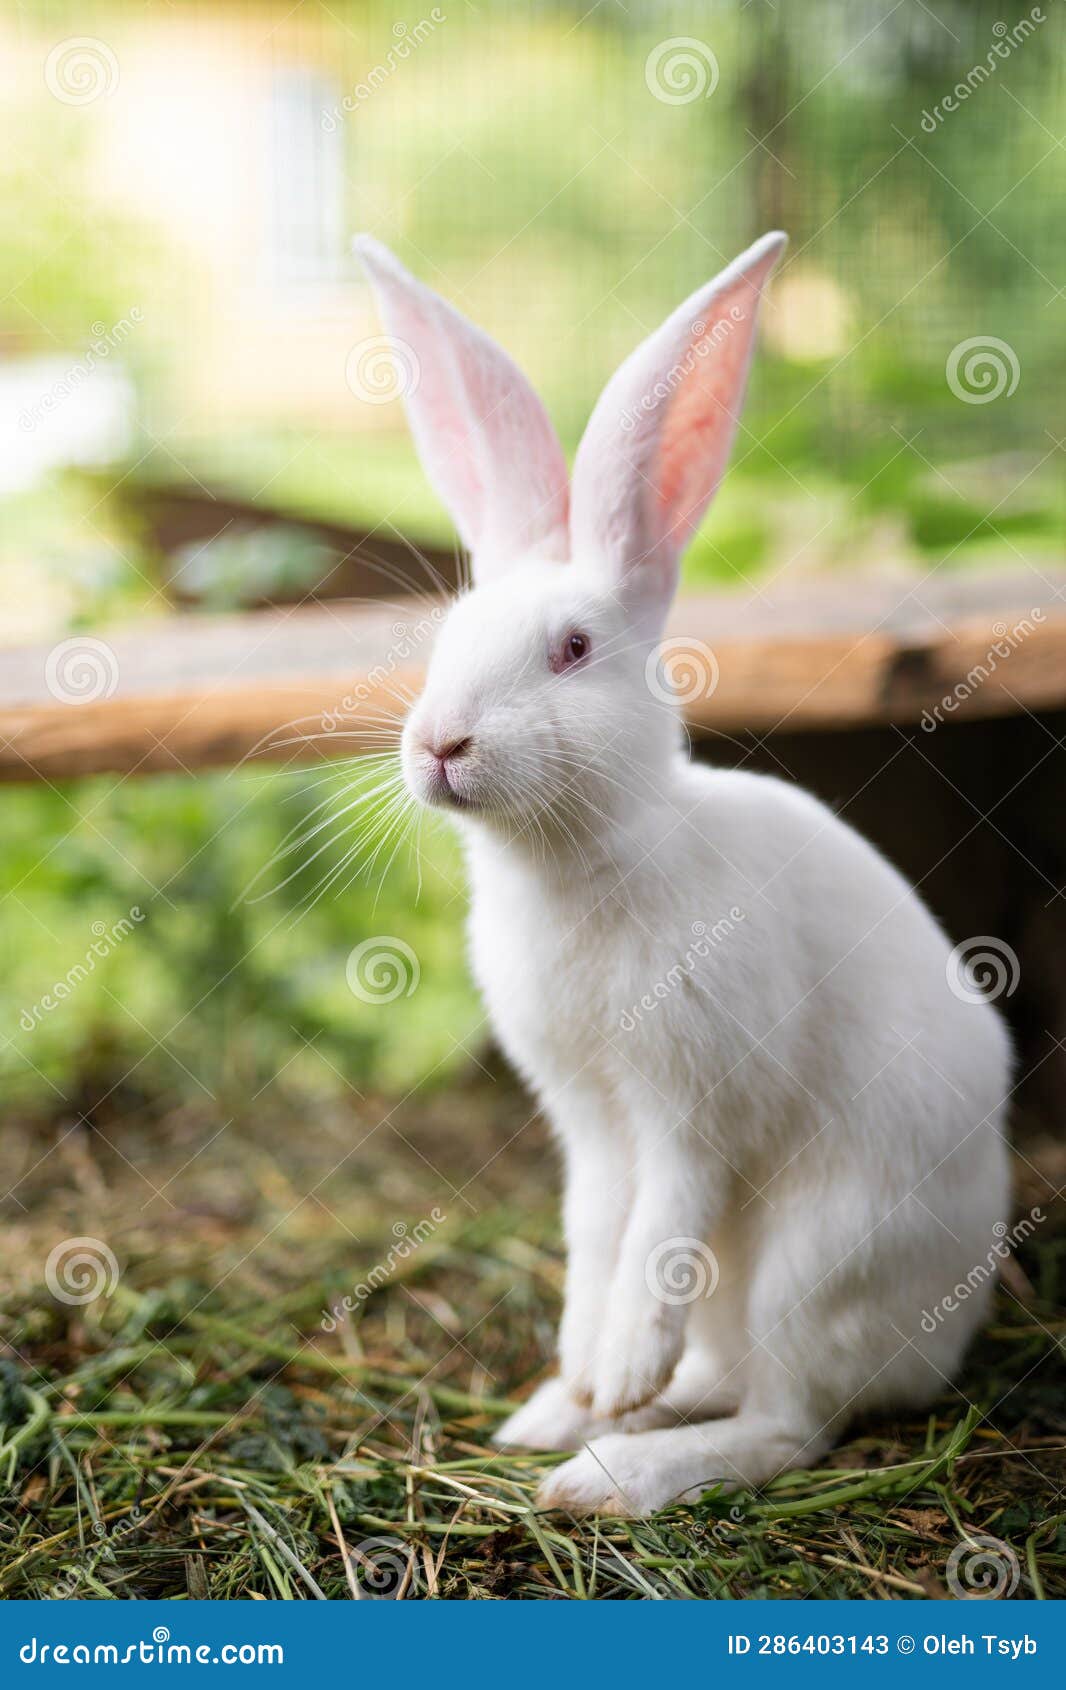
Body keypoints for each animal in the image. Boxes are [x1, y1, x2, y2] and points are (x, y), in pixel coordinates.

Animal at [355, 231, 1012, 1518]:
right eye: (447, 636)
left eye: (570, 649)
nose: (441, 742)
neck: (581, 860)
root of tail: (939, 1348)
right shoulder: (589, 1121)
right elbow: (593, 1231)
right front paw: (582, 1366)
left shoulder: (697, 1105)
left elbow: (659, 1227)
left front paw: (614, 1370)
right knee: (730, 1378)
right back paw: (560, 1417)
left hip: (819, 1256)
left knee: (789, 1423)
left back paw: (615, 1467)